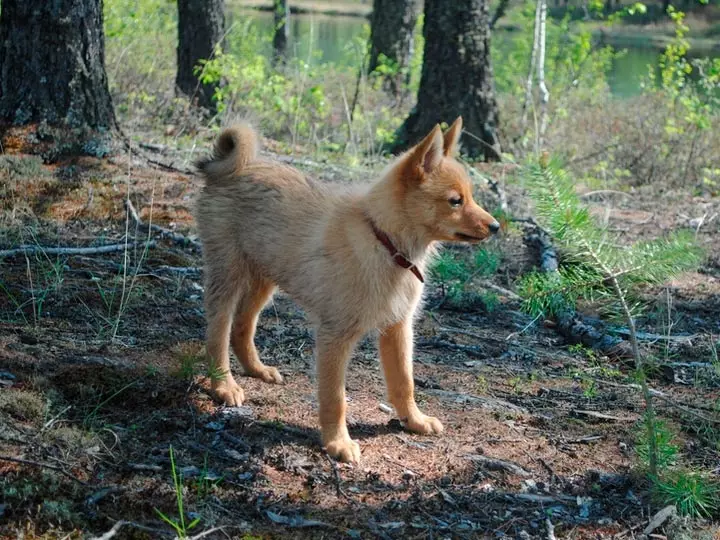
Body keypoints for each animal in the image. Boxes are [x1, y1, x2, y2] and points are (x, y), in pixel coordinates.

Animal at [195, 119, 500, 464]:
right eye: (455, 200)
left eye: (470, 197)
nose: (496, 227)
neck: (385, 242)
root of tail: (230, 169)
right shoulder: (335, 336)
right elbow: (335, 398)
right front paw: (337, 443)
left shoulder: (398, 328)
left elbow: (404, 382)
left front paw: (414, 420)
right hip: (228, 275)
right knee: (218, 334)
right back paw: (223, 385)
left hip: (265, 278)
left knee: (242, 327)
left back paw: (257, 369)